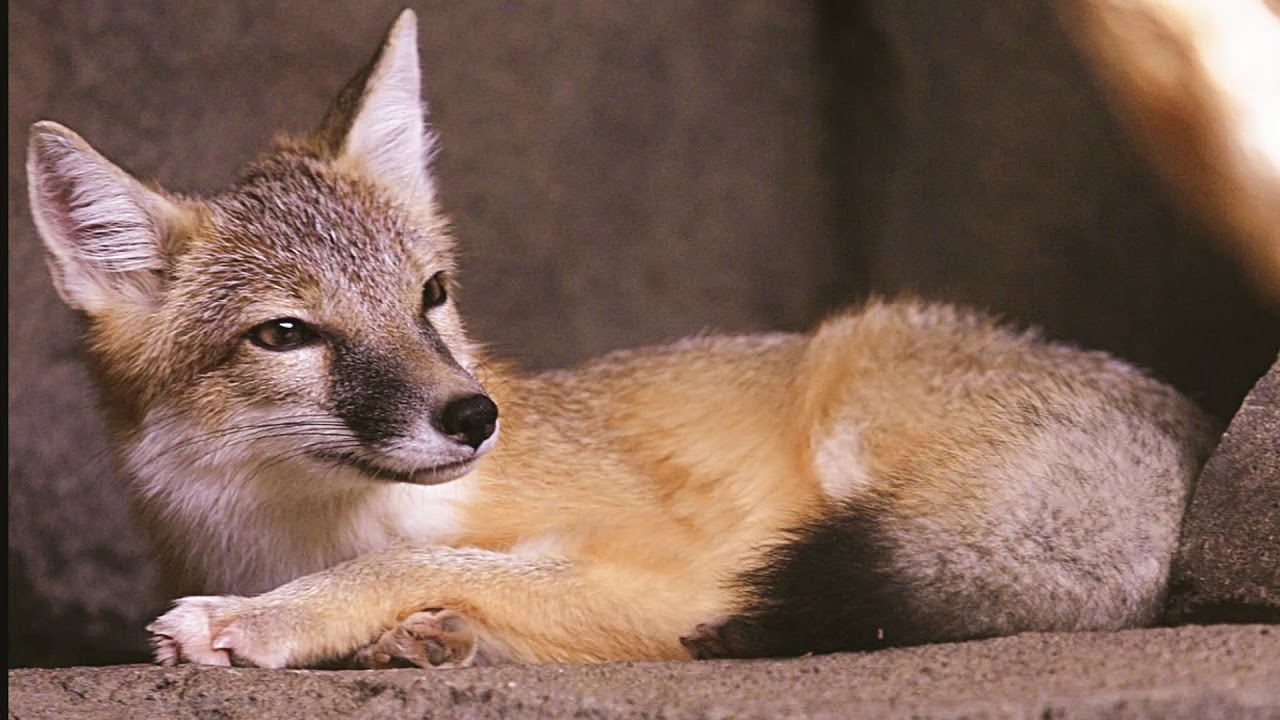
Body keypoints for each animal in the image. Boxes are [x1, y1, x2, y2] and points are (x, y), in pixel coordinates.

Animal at [26, 9, 1218, 669]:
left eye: (430, 294)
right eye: (287, 334)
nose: (475, 415)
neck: (301, 534)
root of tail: (1188, 426)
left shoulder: (676, 569)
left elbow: (426, 558)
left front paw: (276, 620)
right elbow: (451, 574)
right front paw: (422, 630)